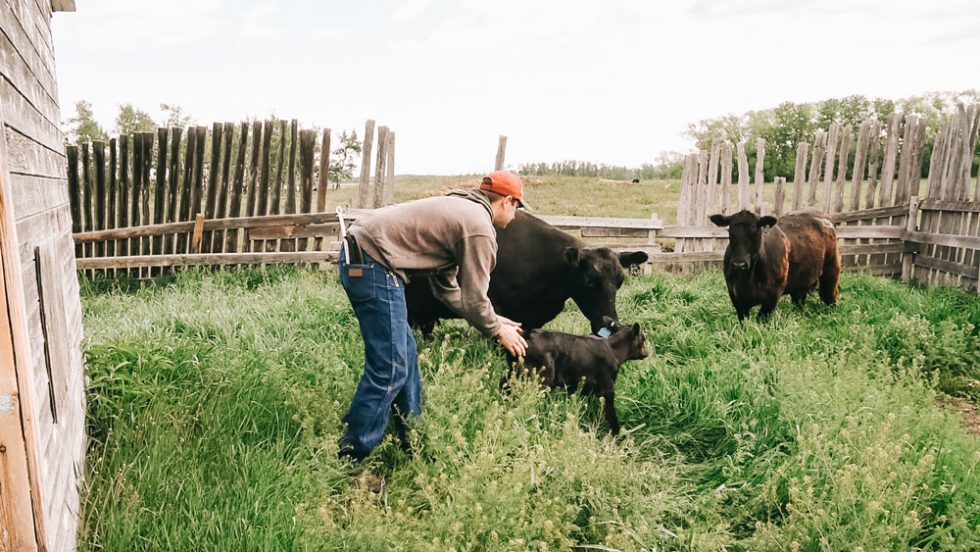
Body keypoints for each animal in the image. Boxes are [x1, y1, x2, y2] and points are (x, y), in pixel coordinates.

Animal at [503, 317, 649, 435]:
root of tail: (524, 334)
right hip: (538, 379)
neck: (614, 350)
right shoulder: (607, 387)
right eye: (644, 338)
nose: (647, 353)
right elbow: (610, 413)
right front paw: (618, 434)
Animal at [709, 209, 840, 322]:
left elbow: (761, 319)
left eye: (755, 231)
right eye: (730, 232)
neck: (748, 278)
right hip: (800, 283)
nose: (739, 264)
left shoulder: (773, 295)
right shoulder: (735, 296)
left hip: (831, 271)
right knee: (799, 302)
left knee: (829, 296)